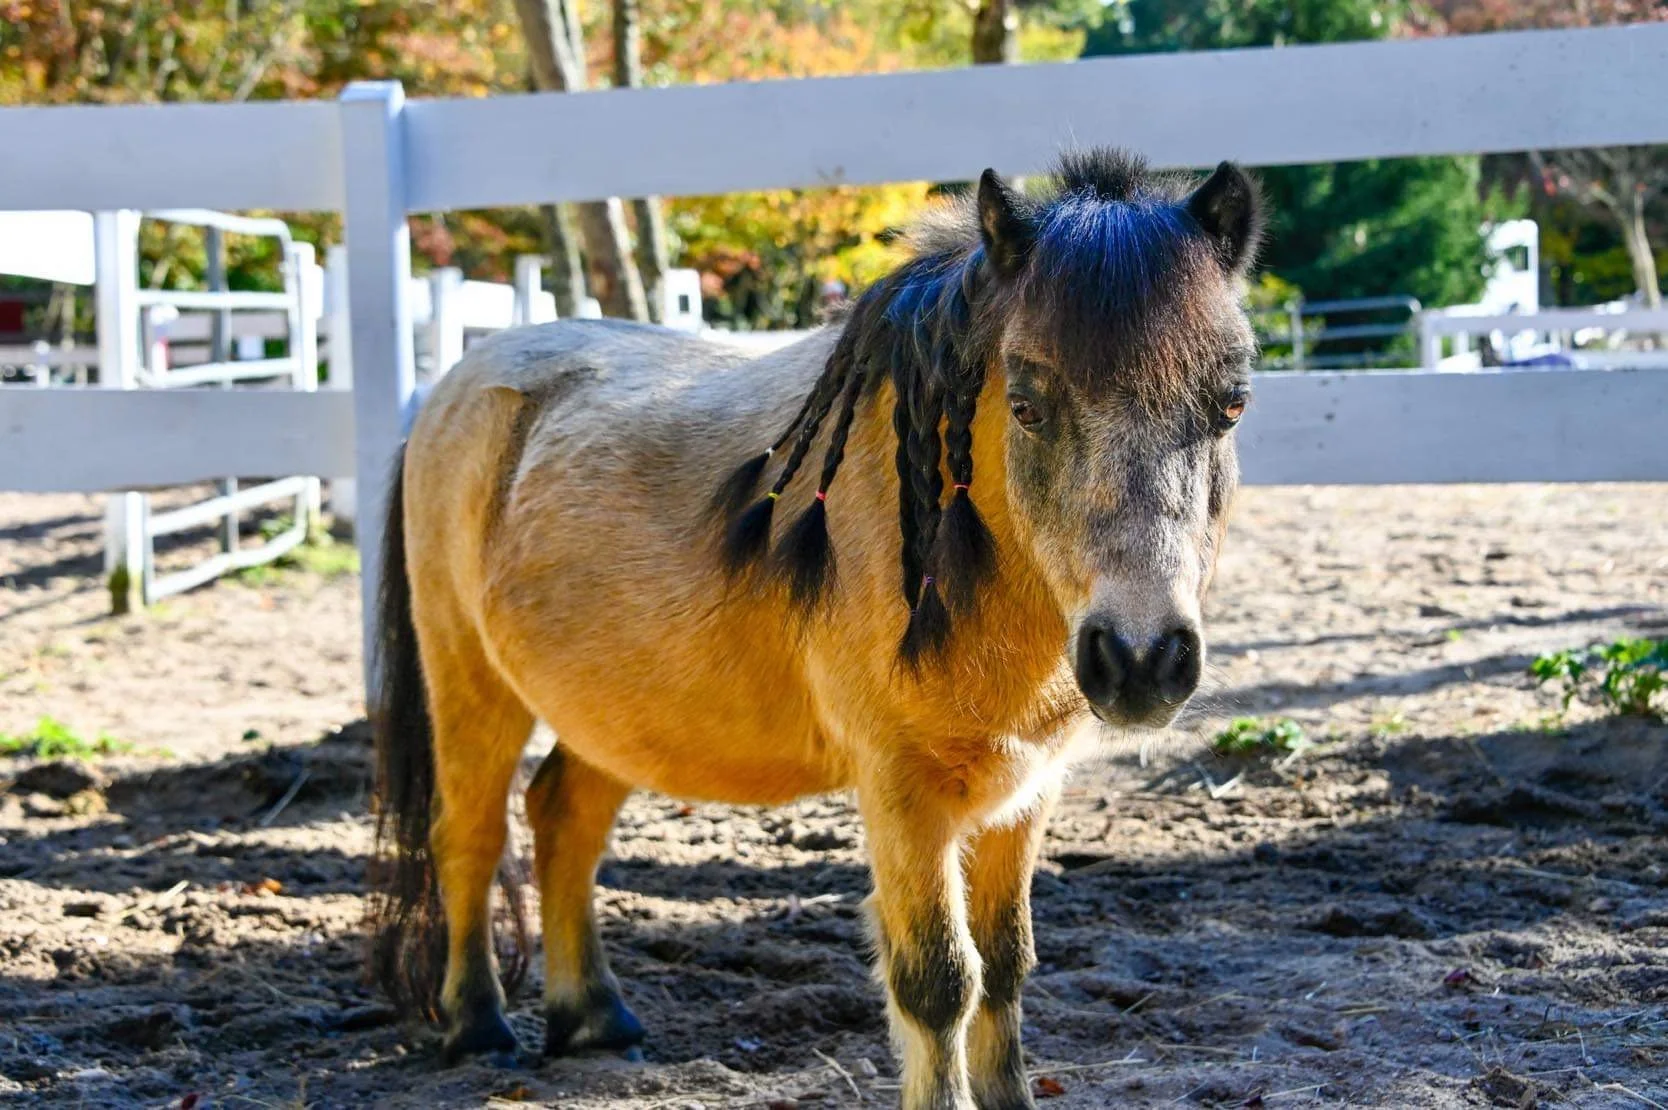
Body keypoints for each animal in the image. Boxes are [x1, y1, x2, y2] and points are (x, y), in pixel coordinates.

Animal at [369, 147, 1263, 1110]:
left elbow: (1007, 964)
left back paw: (595, 1020)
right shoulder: (902, 793)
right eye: (1026, 403)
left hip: (613, 714)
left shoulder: (1023, 794)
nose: (1141, 658)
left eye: (1232, 403)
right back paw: (477, 1027)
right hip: (469, 685)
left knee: (562, 817)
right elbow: (939, 981)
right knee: (468, 834)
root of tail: (452, 386)